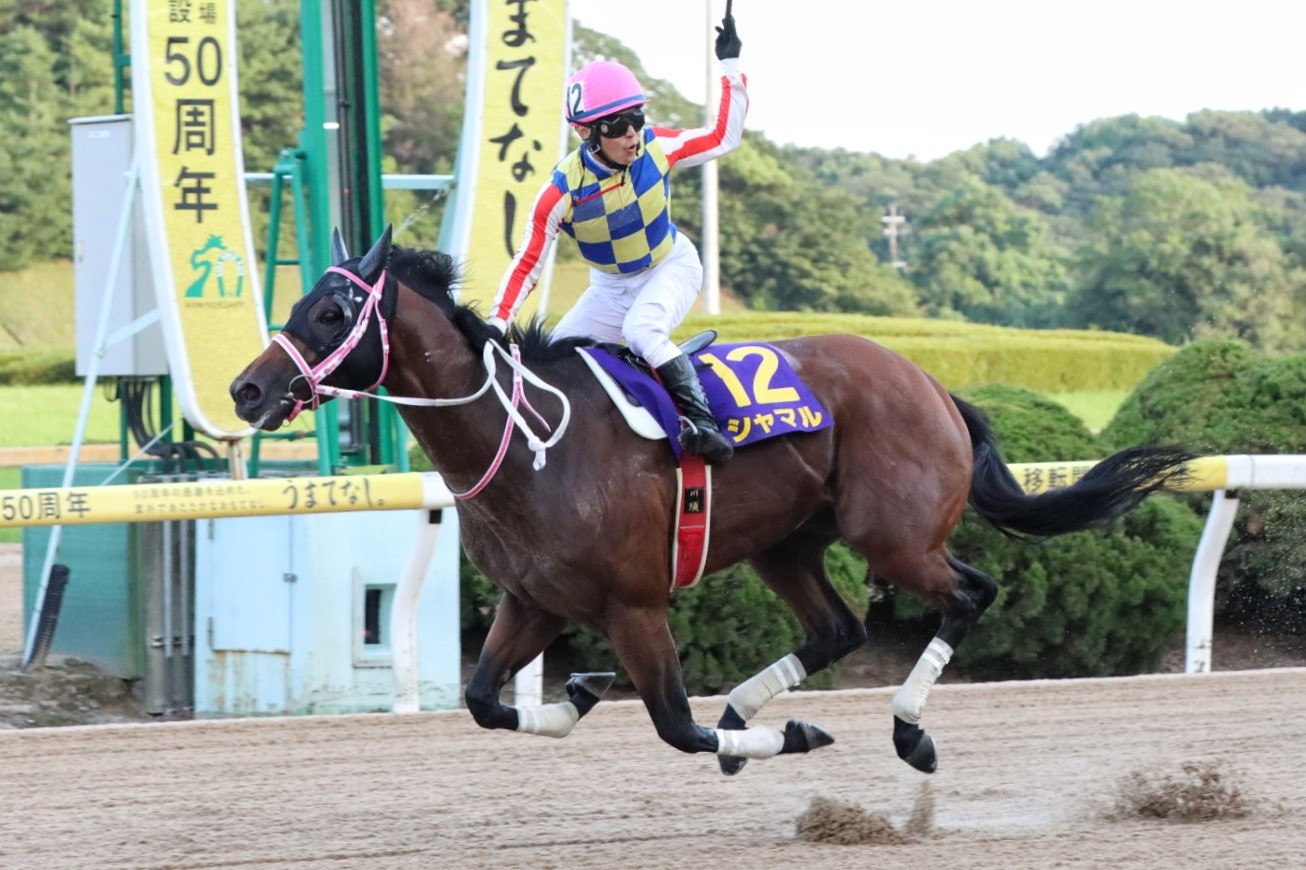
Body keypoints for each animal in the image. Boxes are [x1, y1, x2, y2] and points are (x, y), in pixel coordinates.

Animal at [230, 226, 1192, 775]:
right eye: (303, 300)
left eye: (331, 313)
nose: (246, 389)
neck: (533, 443)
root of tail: (930, 382)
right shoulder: (534, 601)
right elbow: (481, 699)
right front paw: (581, 690)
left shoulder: (635, 604)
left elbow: (676, 729)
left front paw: (791, 738)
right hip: (787, 542)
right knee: (839, 628)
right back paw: (750, 707)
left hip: (896, 537)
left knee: (970, 592)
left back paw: (906, 732)